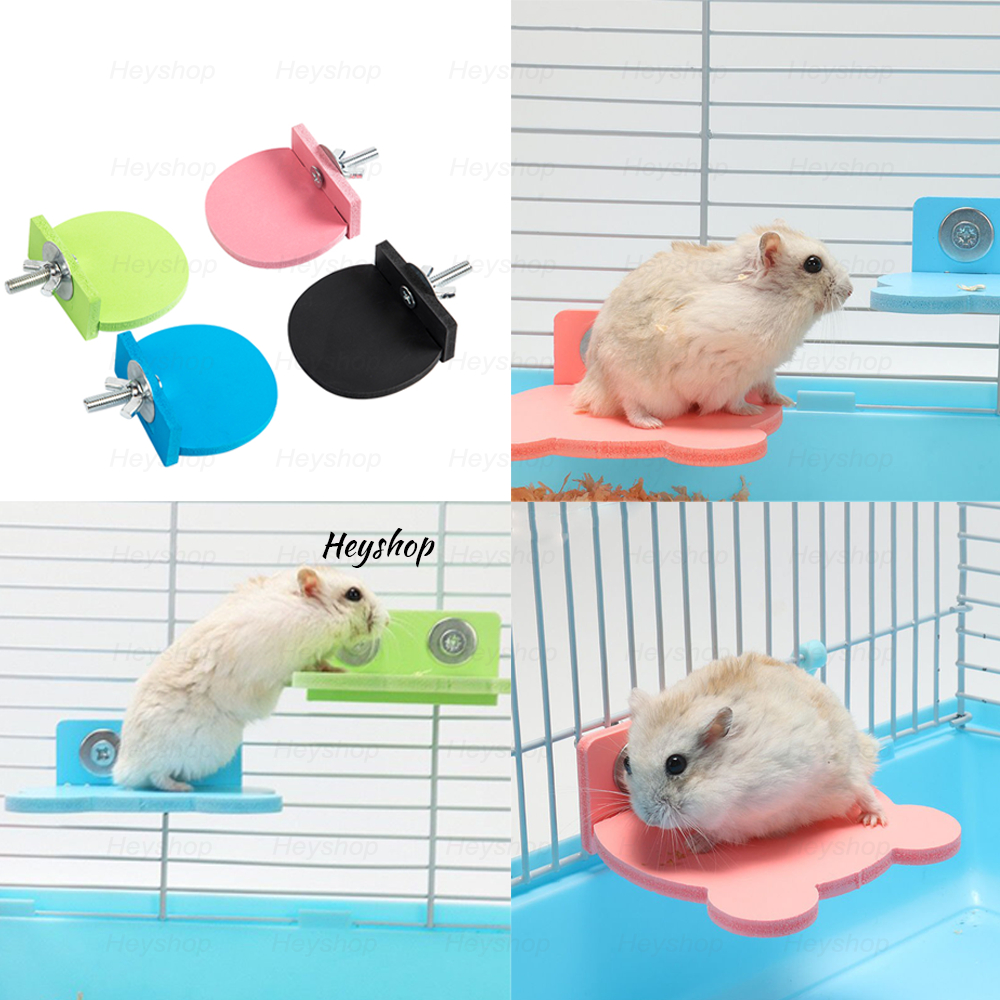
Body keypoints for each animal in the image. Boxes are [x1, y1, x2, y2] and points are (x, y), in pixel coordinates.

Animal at [114, 566, 388, 792]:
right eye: (353, 594)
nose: (386, 620)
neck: (310, 611)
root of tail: (124, 766)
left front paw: (339, 670)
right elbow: (311, 665)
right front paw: (335, 671)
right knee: (156, 775)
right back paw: (183, 788)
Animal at [572, 222, 853, 428]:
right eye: (813, 264)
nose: (851, 290)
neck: (775, 299)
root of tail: (590, 384)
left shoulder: (766, 368)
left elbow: (769, 386)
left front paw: (787, 402)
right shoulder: (735, 375)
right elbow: (735, 400)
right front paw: (752, 410)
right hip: (631, 378)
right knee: (629, 404)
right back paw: (652, 424)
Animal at [621, 652, 884, 854]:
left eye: (675, 764)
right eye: (627, 764)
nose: (648, 819)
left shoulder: (760, 807)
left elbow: (721, 831)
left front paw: (692, 845)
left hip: (846, 771)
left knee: (864, 790)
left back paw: (874, 821)